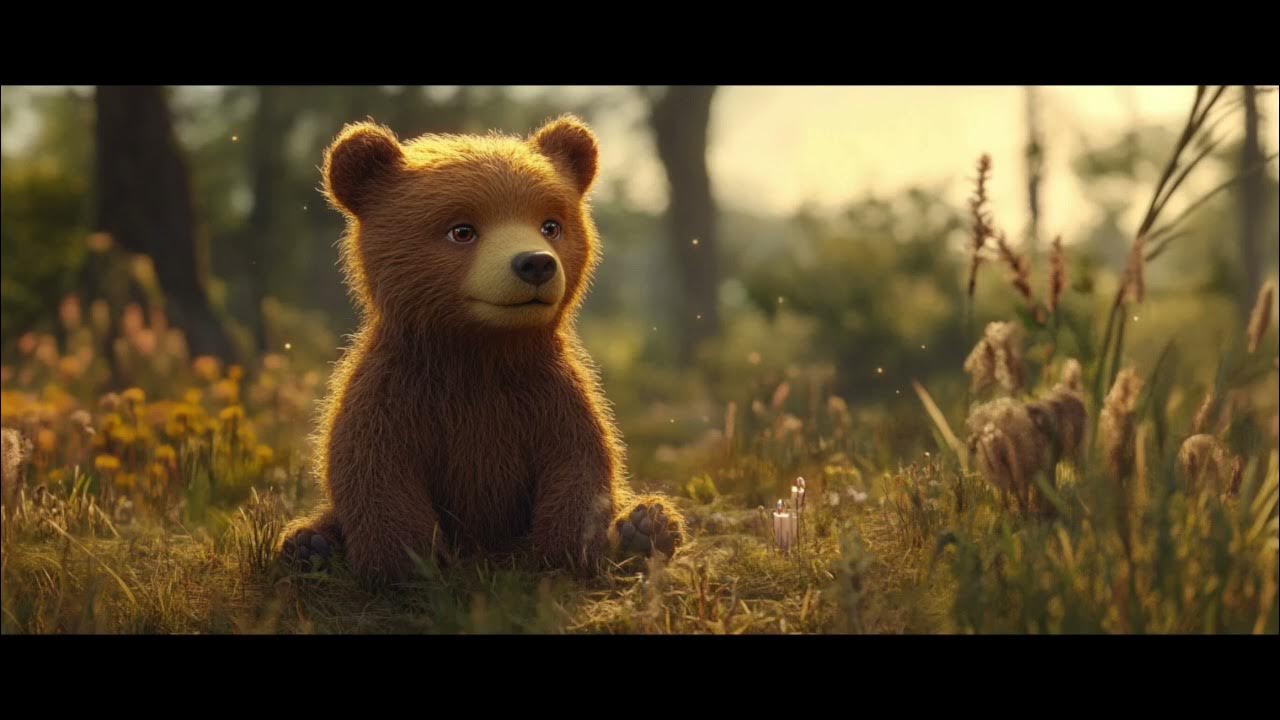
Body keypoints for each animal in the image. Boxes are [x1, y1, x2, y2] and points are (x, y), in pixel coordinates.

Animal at [277, 115, 685, 584]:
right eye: (462, 230)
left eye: (551, 224)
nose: (535, 263)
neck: (478, 351)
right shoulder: (394, 396)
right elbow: (378, 476)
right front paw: (409, 562)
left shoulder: (549, 396)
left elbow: (579, 465)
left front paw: (570, 549)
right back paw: (311, 544)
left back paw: (645, 526)